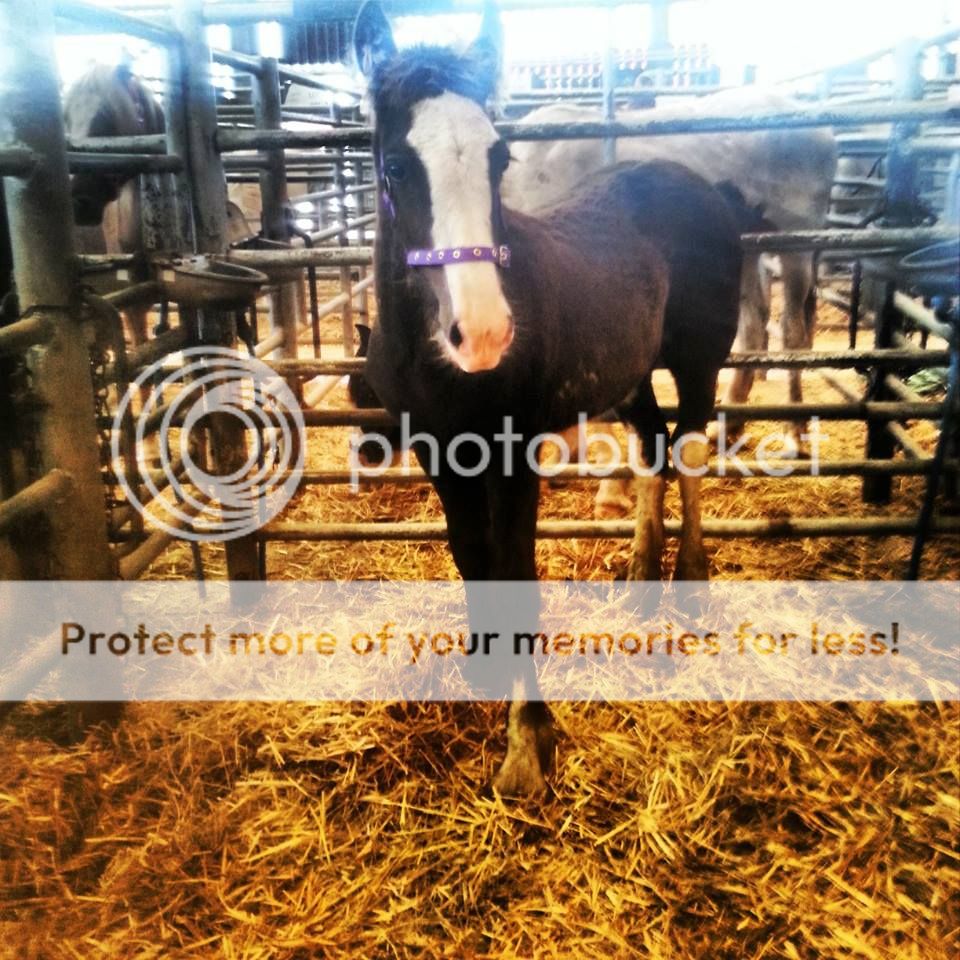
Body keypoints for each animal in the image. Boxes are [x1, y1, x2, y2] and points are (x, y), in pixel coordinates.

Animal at [353, 1, 741, 795]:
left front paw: (528, 740)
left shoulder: (512, 456)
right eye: (395, 166)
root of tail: (705, 188)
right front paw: (484, 664)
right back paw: (639, 579)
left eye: (500, 158)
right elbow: (470, 552)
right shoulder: (440, 451)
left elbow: (516, 567)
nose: (483, 334)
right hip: (630, 376)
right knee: (653, 449)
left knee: (687, 452)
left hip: (699, 361)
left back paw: (690, 582)